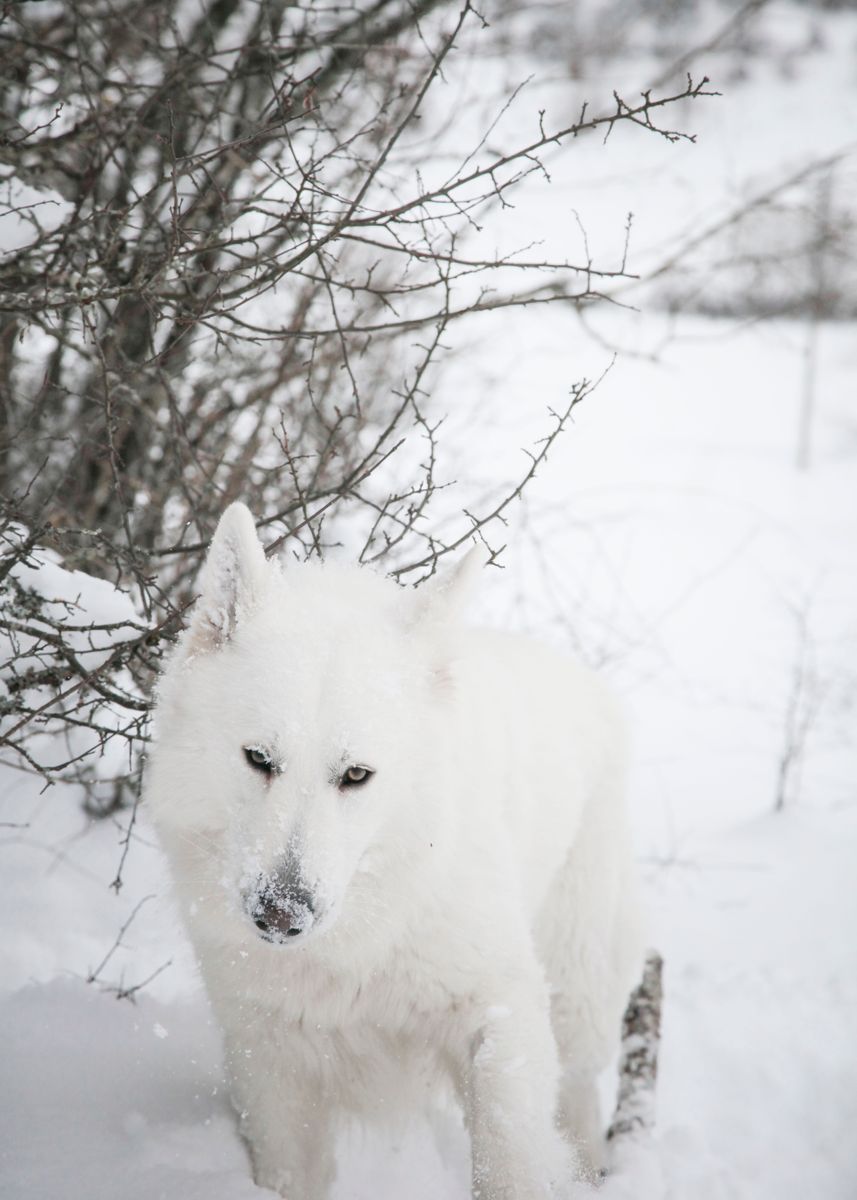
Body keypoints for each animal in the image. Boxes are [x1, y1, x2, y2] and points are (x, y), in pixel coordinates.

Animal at [145, 502, 644, 1200]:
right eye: (259, 759)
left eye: (356, 775)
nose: (281, 915)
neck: (358, 946)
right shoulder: (269, 1063)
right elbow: (288, 1173)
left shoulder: (501, 1015)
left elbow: (509, 1157)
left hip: (577, 990)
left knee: (577, 1093)